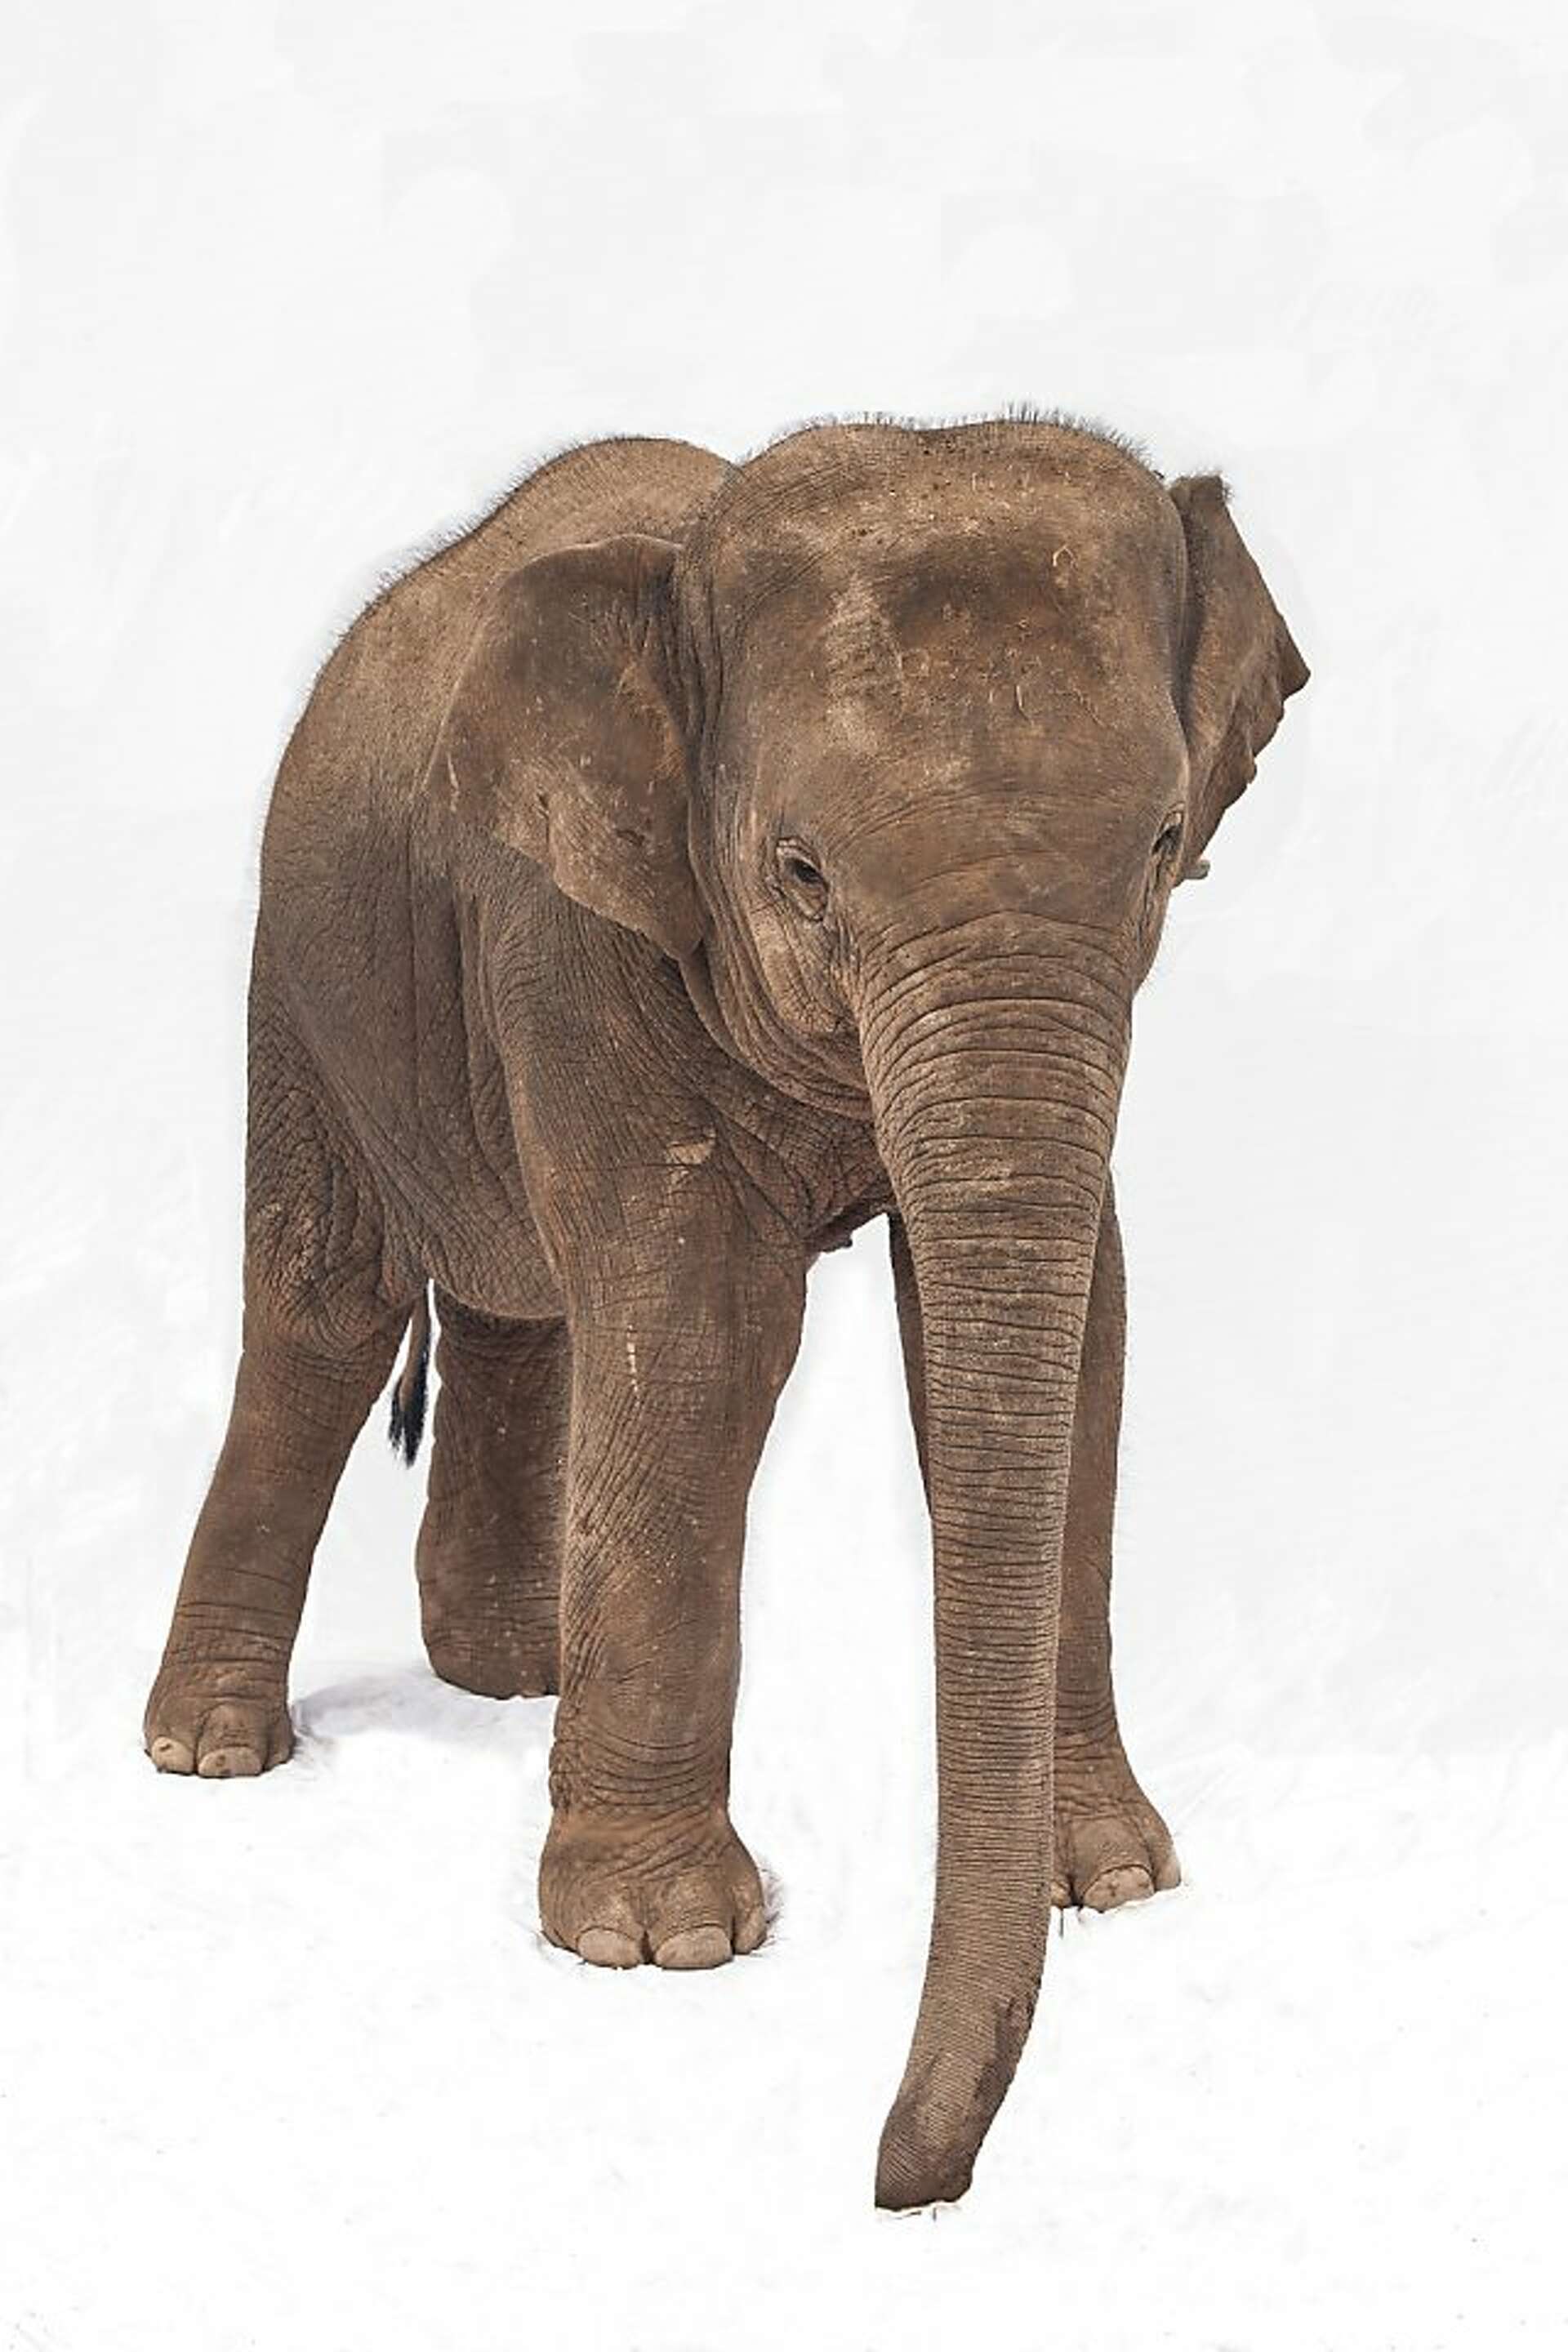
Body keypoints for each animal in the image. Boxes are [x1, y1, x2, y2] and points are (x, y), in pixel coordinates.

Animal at [144, 413, 1307, 2208]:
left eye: (1167, 849)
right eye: (802, 873)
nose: (898, 2186)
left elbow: (1072, 1340)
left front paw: (1112, 1883)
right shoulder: (571, 925)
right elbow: (700, 1335)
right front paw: (662, 1944)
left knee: (525, 1307)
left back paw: (512, 1678)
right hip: (310, 961)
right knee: (332, 1312)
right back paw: (214, 1755)